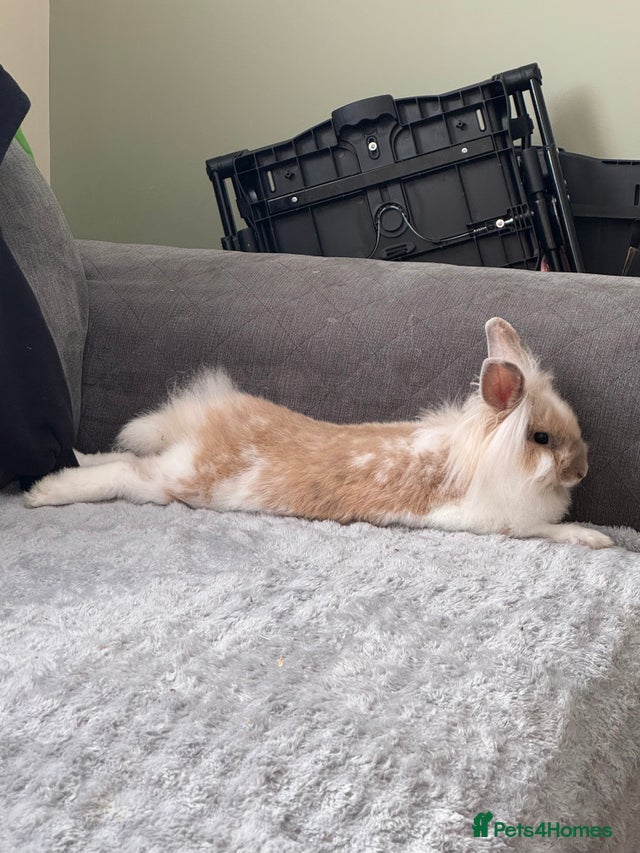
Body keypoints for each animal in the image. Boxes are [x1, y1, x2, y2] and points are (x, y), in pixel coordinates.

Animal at [26, 317, 613, 549]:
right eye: (540, 439)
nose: (583, 470)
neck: (489, 456)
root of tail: (202, 422)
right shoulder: (502, 524)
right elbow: (551, 531)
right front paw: (596, 538)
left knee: (111, 457)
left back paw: (67, 460)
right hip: (182, 482)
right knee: (127, 472)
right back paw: (42, 493)